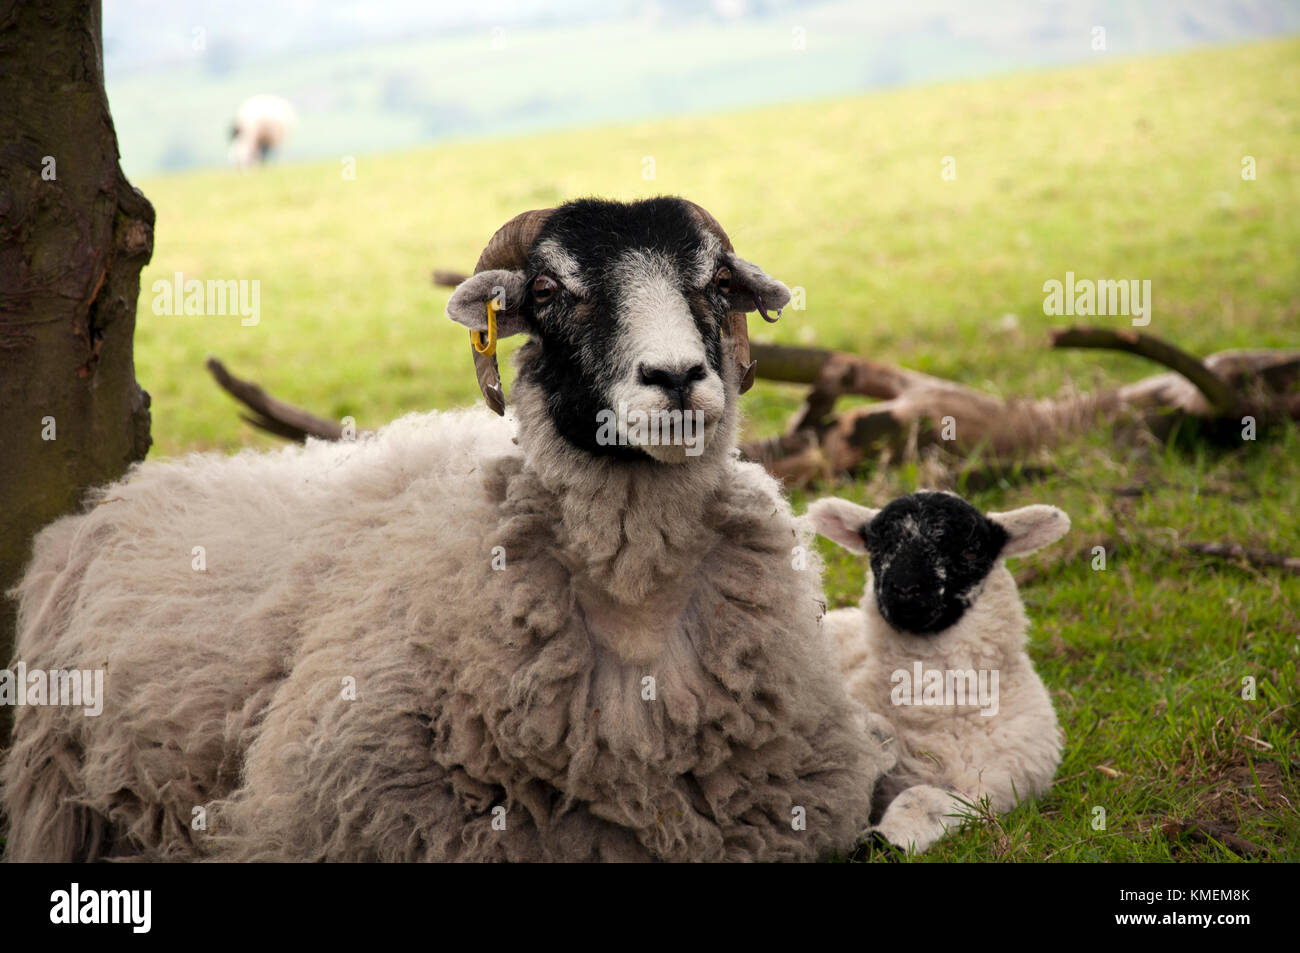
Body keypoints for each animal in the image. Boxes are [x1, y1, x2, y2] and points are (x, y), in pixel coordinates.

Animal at [2, 196, 893, 862]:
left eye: (713, 281)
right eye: (548, 289)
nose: (676, 377)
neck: (636, 605)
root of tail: (117, 492)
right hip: (56, 787)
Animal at [807, 490, 1068, 854]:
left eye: (972, 550)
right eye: (878, 548)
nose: (904, 588)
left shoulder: (990, 787)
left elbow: (921, 797)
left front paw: (883, 840)